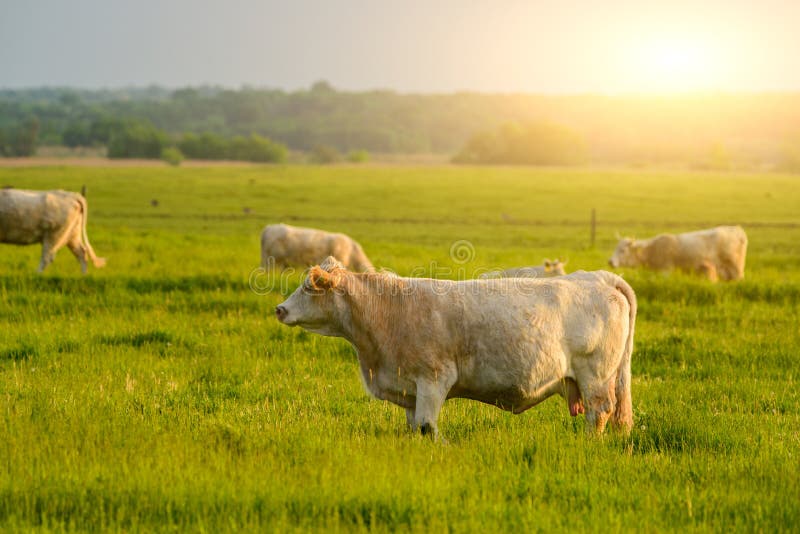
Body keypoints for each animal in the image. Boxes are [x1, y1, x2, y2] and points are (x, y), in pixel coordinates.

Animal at [275, 256, 636, 439]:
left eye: (310, 287)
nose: (280, 309)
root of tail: (598, 277)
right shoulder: (409, 387)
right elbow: (414, 428)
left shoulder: (434, 378)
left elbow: (427, 426)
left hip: (596, 376)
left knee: (599, 412)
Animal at [608, 225, 747, 282]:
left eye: (622, 251)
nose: (610, 262)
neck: (652, 249)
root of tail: (737, 229)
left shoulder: (666, 271)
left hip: (736, 268)